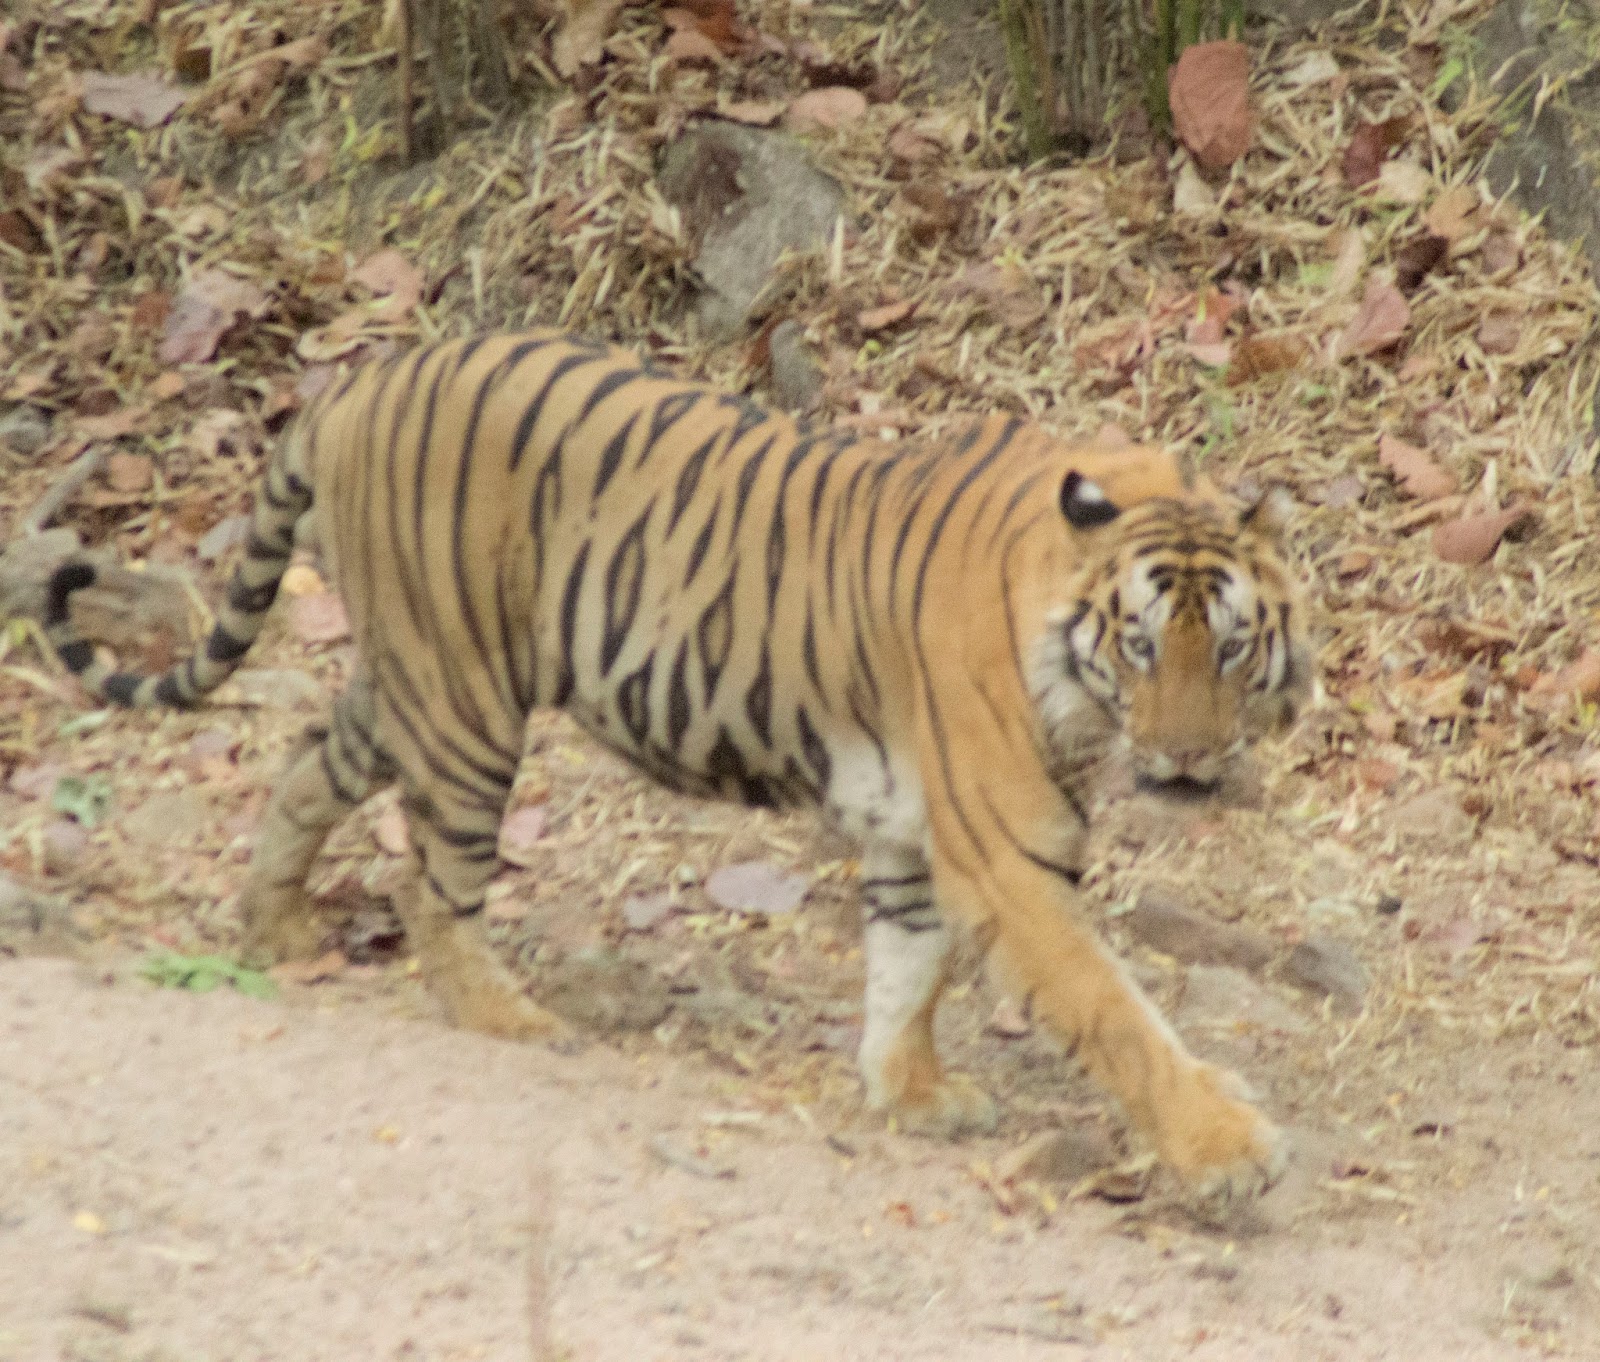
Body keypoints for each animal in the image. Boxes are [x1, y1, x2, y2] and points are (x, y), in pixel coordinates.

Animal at [45, 328, 1311, 1205]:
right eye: (1141, 645)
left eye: (1229, 646)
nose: (1189, 760)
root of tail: (353, 384)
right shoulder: (1006, 852)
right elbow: (1115, 1012)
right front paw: (1227, 1150)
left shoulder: (912, 831)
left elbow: (906, 971)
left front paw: (910, 1092)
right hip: (466, 702)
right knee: (428, 883)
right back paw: (509, 1020)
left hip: (408, 680)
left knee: (308, 766)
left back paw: (272, 927)